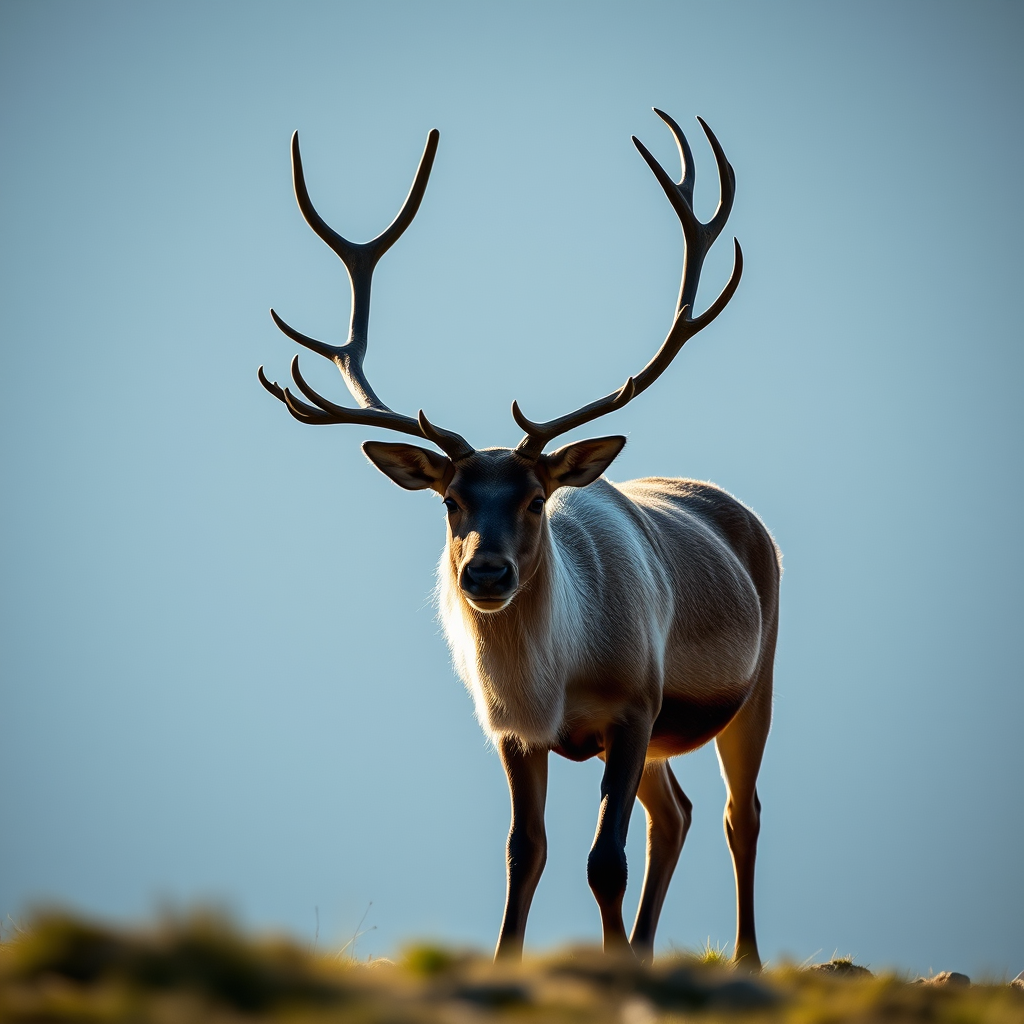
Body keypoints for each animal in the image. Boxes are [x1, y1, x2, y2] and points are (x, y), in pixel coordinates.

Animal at [258, 110, 780, 969]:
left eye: (537, 498)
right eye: (450, 499)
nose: (487, 574)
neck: (556, 679)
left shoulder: (635, 706)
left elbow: (604, 860)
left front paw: (611, 967)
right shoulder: (511, 733)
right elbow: (522, 851)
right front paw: (521, 960)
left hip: (752, 688)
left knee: (742, 815)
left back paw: (745, 961)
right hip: (664, 742)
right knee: (675, 814)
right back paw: (648, 948)